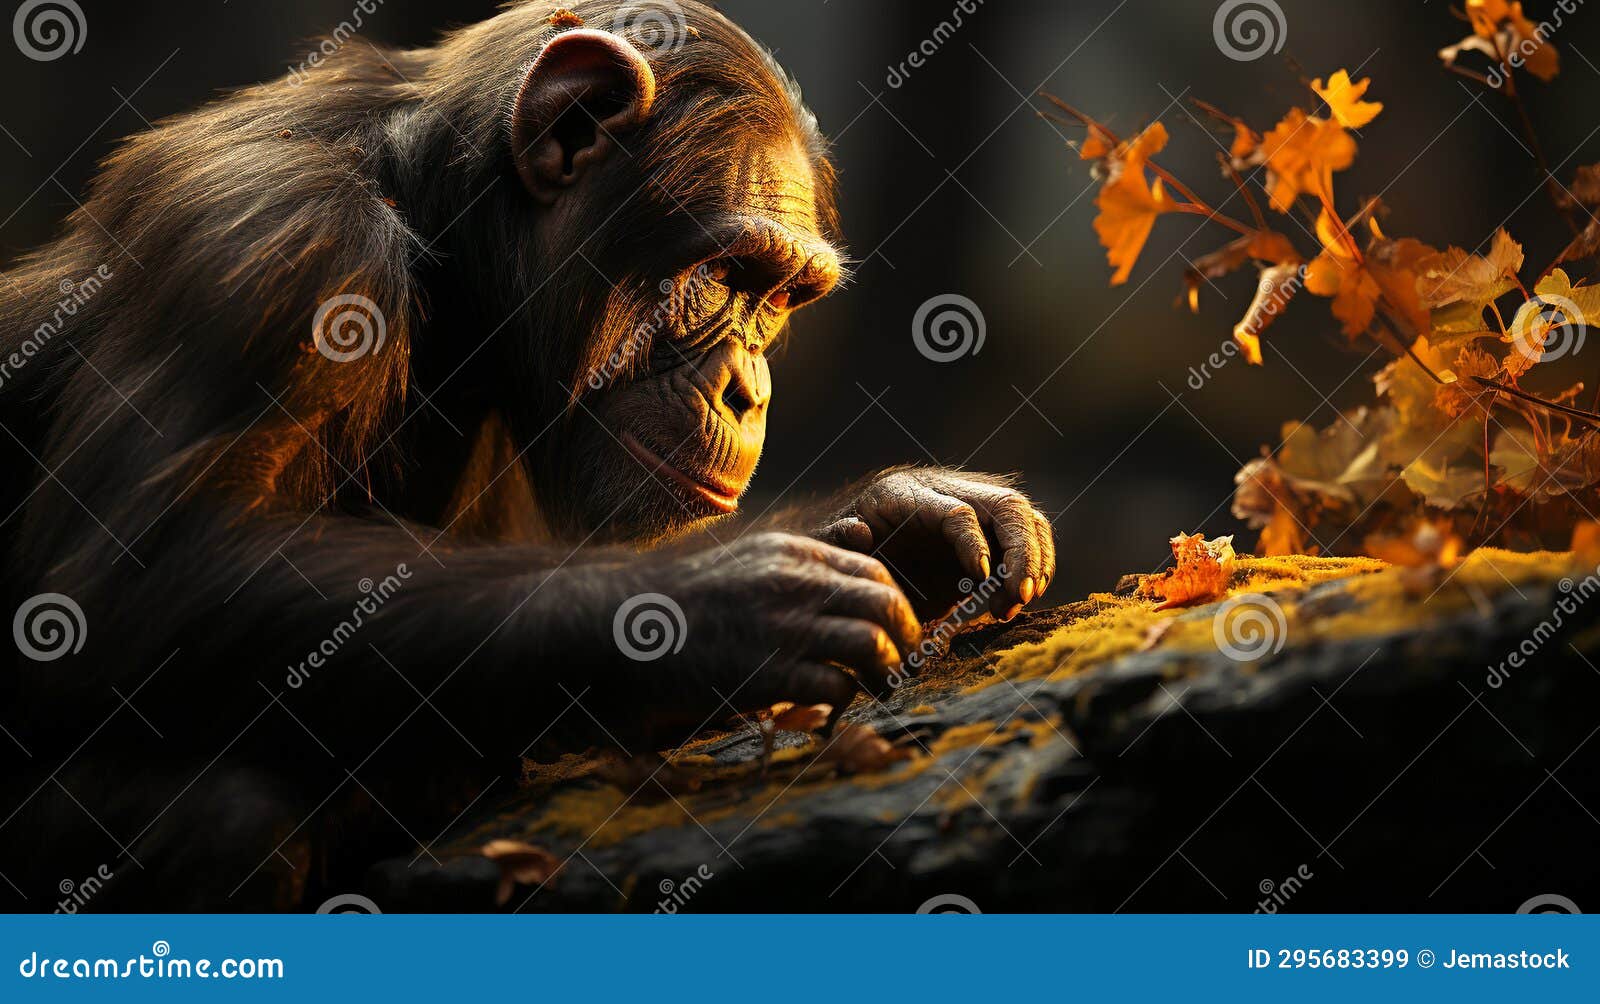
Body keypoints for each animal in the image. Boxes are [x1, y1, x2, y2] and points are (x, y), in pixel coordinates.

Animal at [0, 1, 1055, 910]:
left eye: (782, 299)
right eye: (726, 277)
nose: (748, 391)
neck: (434, 223)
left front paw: (909, 523)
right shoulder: (271, 244)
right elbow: (128, 576)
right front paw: (735, 601)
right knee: (222, 811)